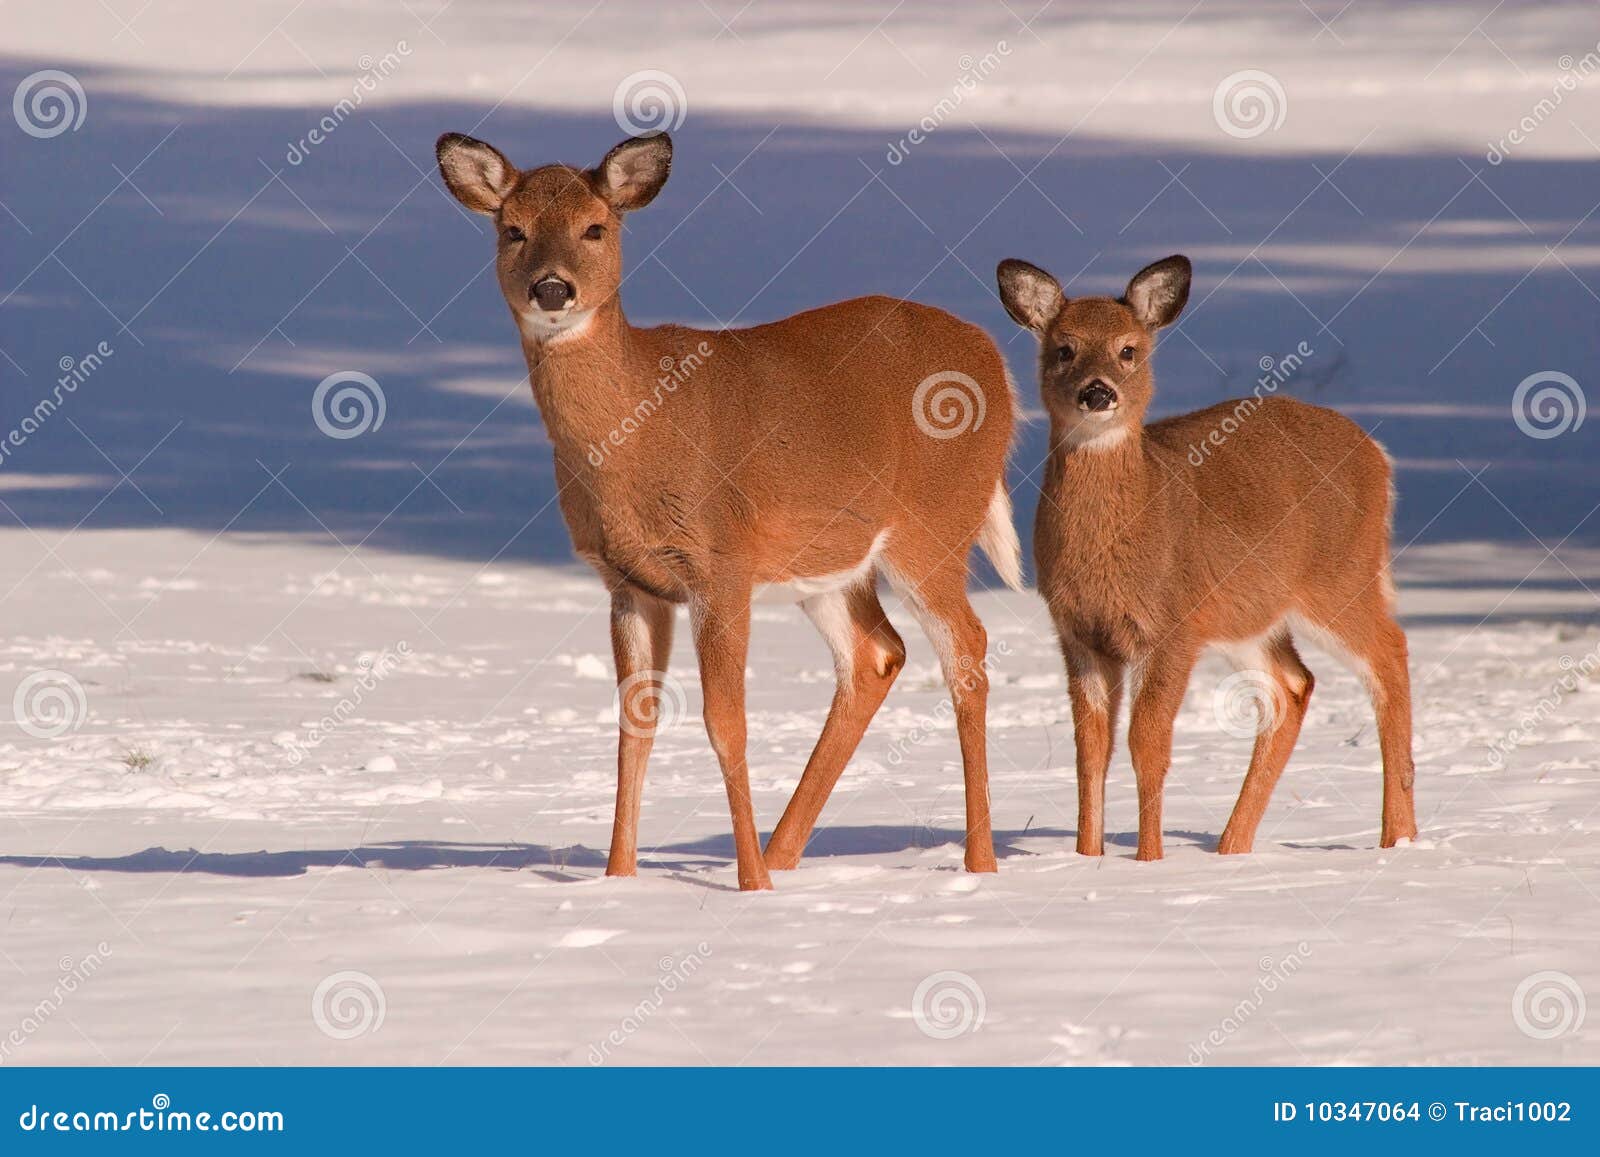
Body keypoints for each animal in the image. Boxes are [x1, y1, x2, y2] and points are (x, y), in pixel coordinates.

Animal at [436, 130, 1021, 891]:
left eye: (596, 227)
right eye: (513, 229)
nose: (553, 288)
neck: (638, 432)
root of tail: (996, 360)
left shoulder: (722, 561)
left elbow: (725, 721)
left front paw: (749, 888)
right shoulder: (630, 582)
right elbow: (634, 724)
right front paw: (618, 879)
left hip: (934, 525)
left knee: (967, 652)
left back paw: (975, 865)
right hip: (829, 561)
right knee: (876, 653)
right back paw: (786, 853)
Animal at [995, 253, 1418, 861]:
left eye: (1129, 350)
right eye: (1064, 348)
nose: (1097, 393)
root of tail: (1378, 455)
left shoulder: (1172, 626)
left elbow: (1146, 743)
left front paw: (1148, 860)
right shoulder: (1078, 633)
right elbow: (1089, 751)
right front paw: (1087, 858)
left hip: (1339, 576)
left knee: (1389, 651)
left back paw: (1397, 837)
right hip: (1250, 616)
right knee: (1292, 686)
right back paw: (1231, 847)